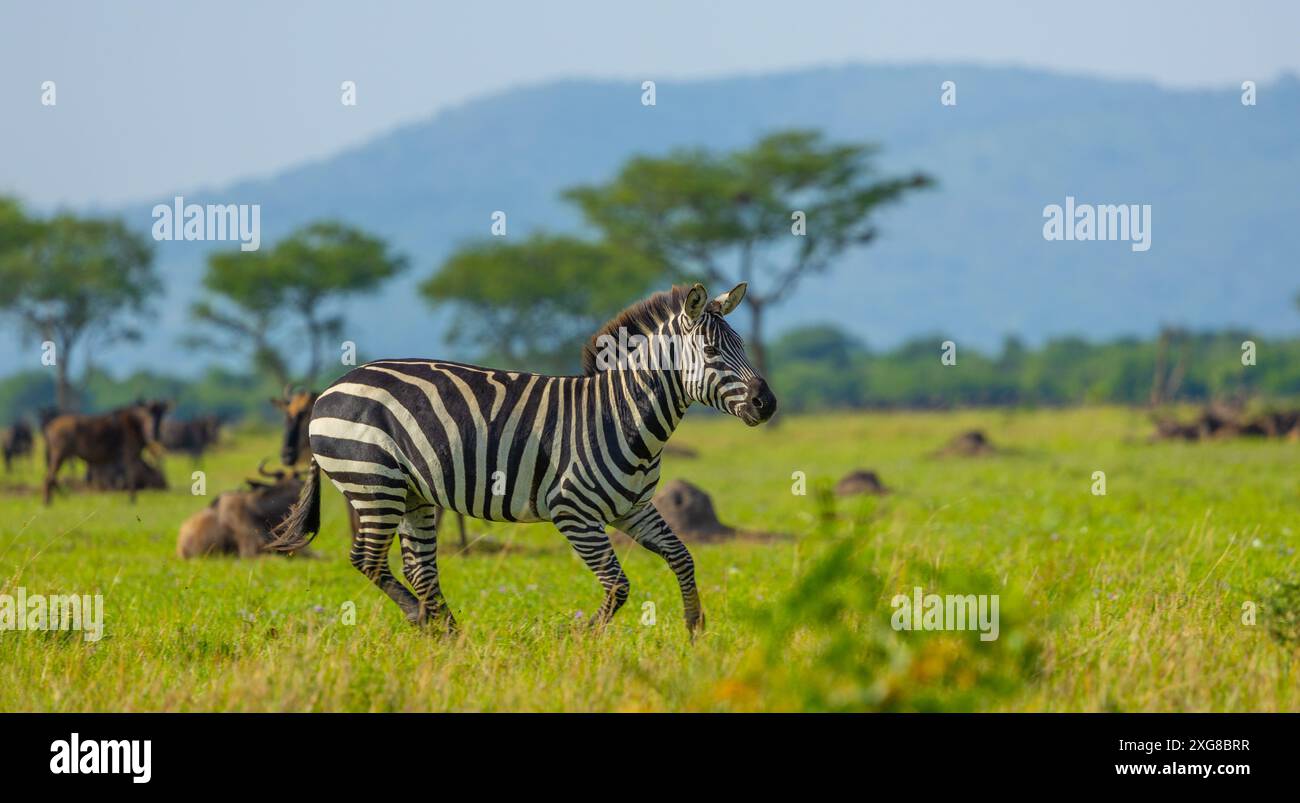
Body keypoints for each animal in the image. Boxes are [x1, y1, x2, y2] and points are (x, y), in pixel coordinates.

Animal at [269, 282, 777, 634]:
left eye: (743, 347)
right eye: (711, 350)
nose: (767, 404)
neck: (619, 413)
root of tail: (330, 388)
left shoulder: (633, 508)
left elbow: (683, 558)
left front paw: (695, 632)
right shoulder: (573, 512)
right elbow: (619, 585)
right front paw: (580, 636)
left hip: (413, 493)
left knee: (419, 567)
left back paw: (450, 634)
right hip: (374, 482)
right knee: (368, 559)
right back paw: (423, 620)